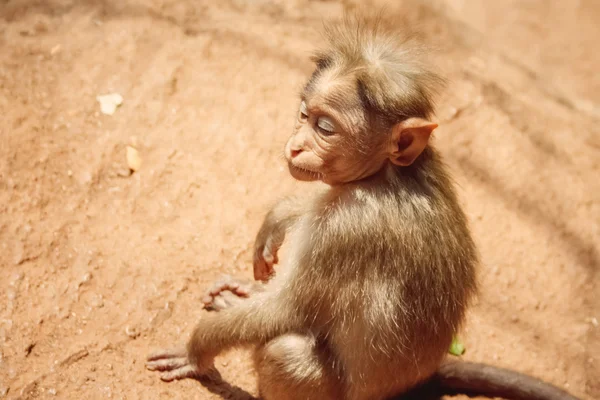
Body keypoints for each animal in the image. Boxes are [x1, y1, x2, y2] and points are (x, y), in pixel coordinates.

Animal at [146, 15, 580, 400]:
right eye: (303, 114)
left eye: (325, 128)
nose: (295, 147)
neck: (384, 175)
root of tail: (416, 382)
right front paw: (279, 218)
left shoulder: (348, 230)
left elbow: (285, 311)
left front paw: (196, 350)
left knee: (281, 349)